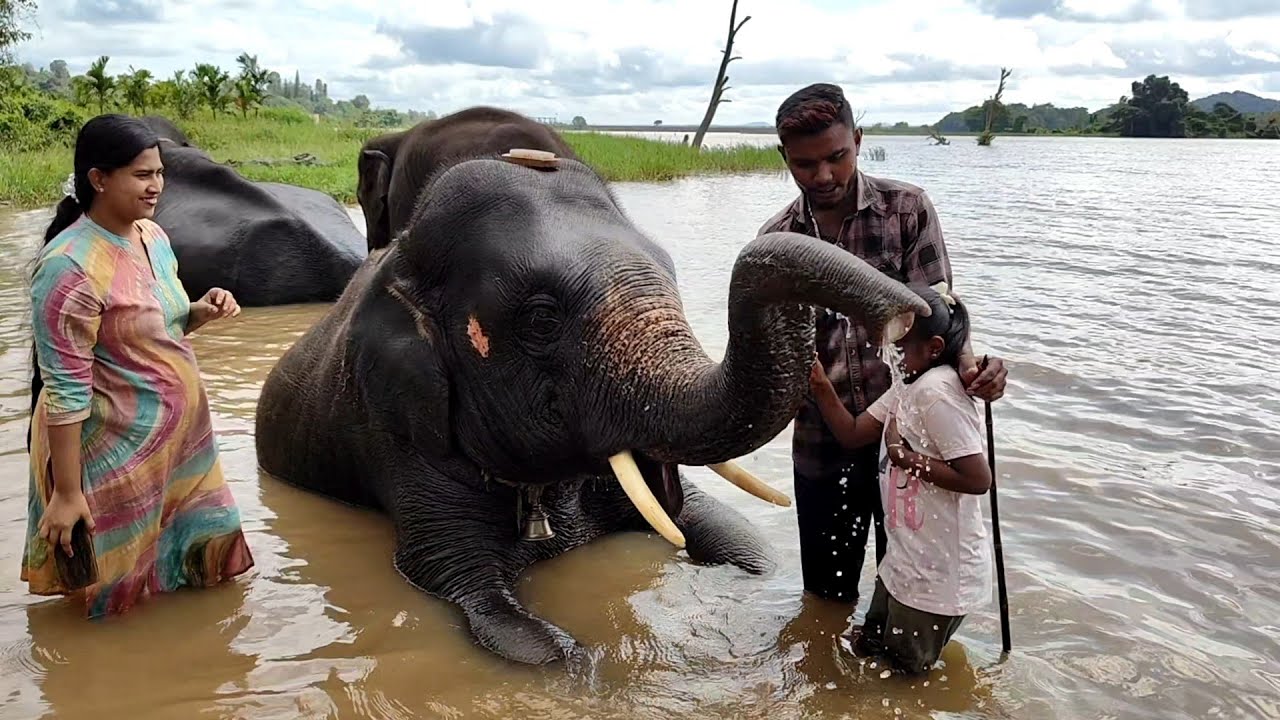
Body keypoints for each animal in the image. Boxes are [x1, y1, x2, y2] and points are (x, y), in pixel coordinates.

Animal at [254, 150, 930, 666]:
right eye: (541, 320)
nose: (912, 312)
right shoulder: (400, 434)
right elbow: (458, 580)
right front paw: (579, 665)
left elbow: (734, 537)